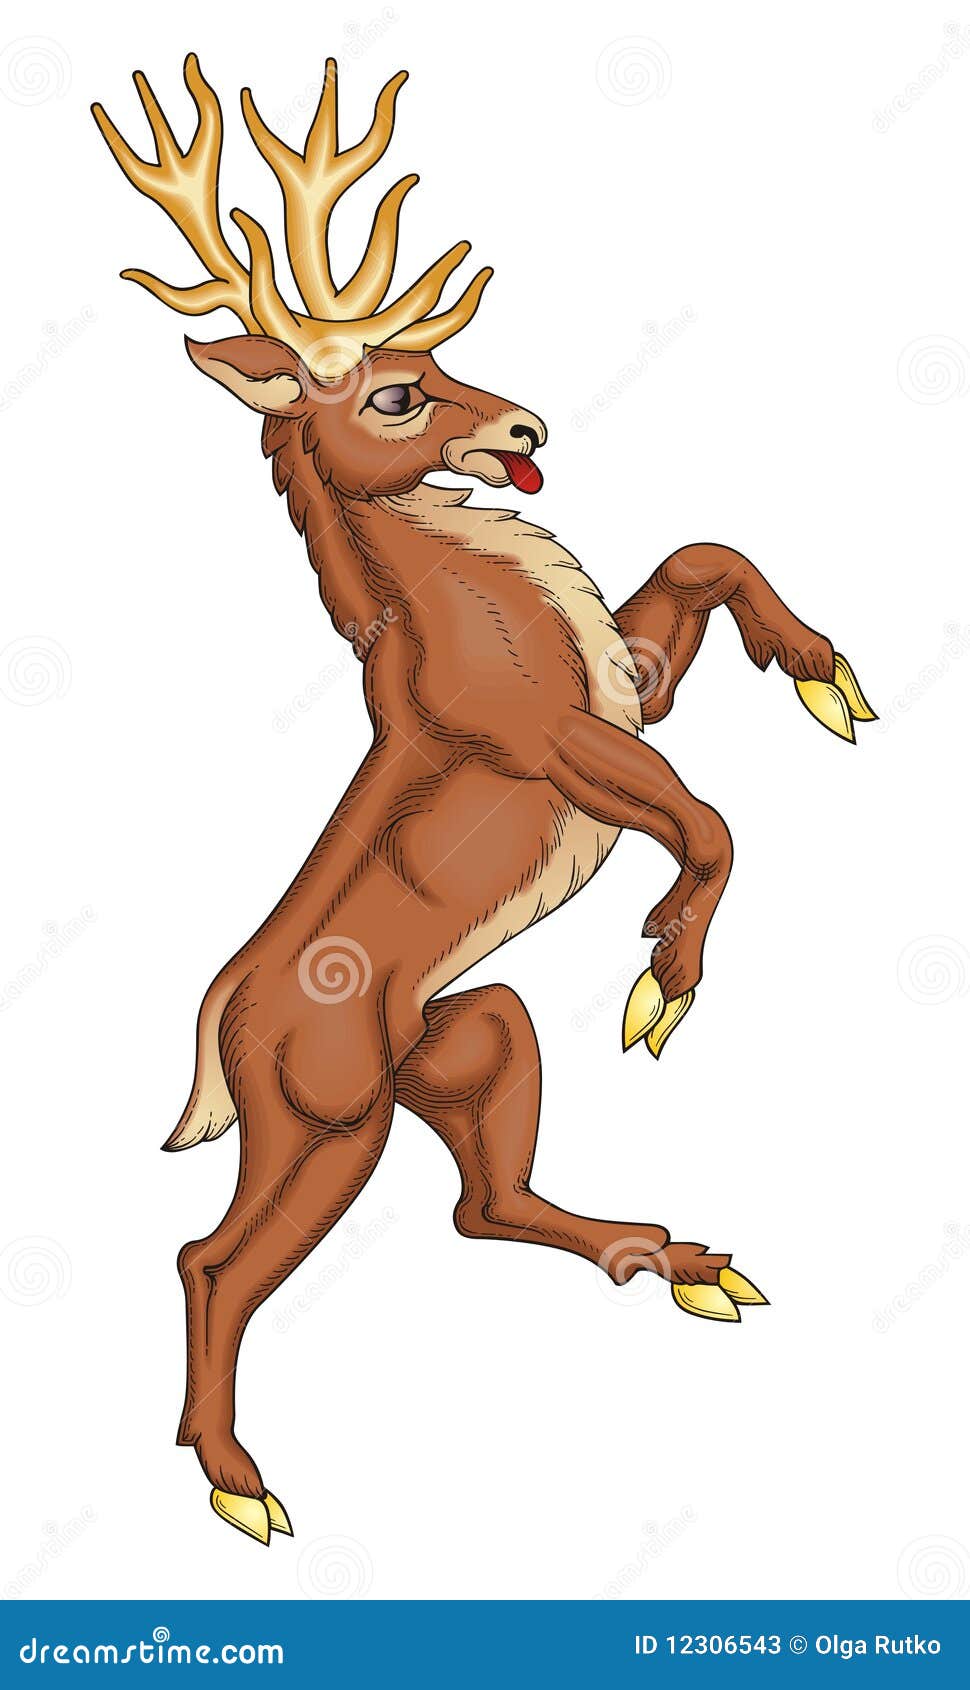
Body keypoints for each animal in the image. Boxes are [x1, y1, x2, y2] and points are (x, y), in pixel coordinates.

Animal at [92, 54, 875, 1546]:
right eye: (391, 398)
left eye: (444, 361)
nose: (527, 426)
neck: (481, 611)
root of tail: (231, 1021)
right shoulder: (557, 748)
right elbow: (709, 825)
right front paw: (660, 986)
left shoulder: (627, 692)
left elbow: (704, 556)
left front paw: (828, 679)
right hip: (328, 1122)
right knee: (210, 1257)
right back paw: (238, 1483)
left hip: (469, 1036)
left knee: (483, 1199)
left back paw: (682, 1259)